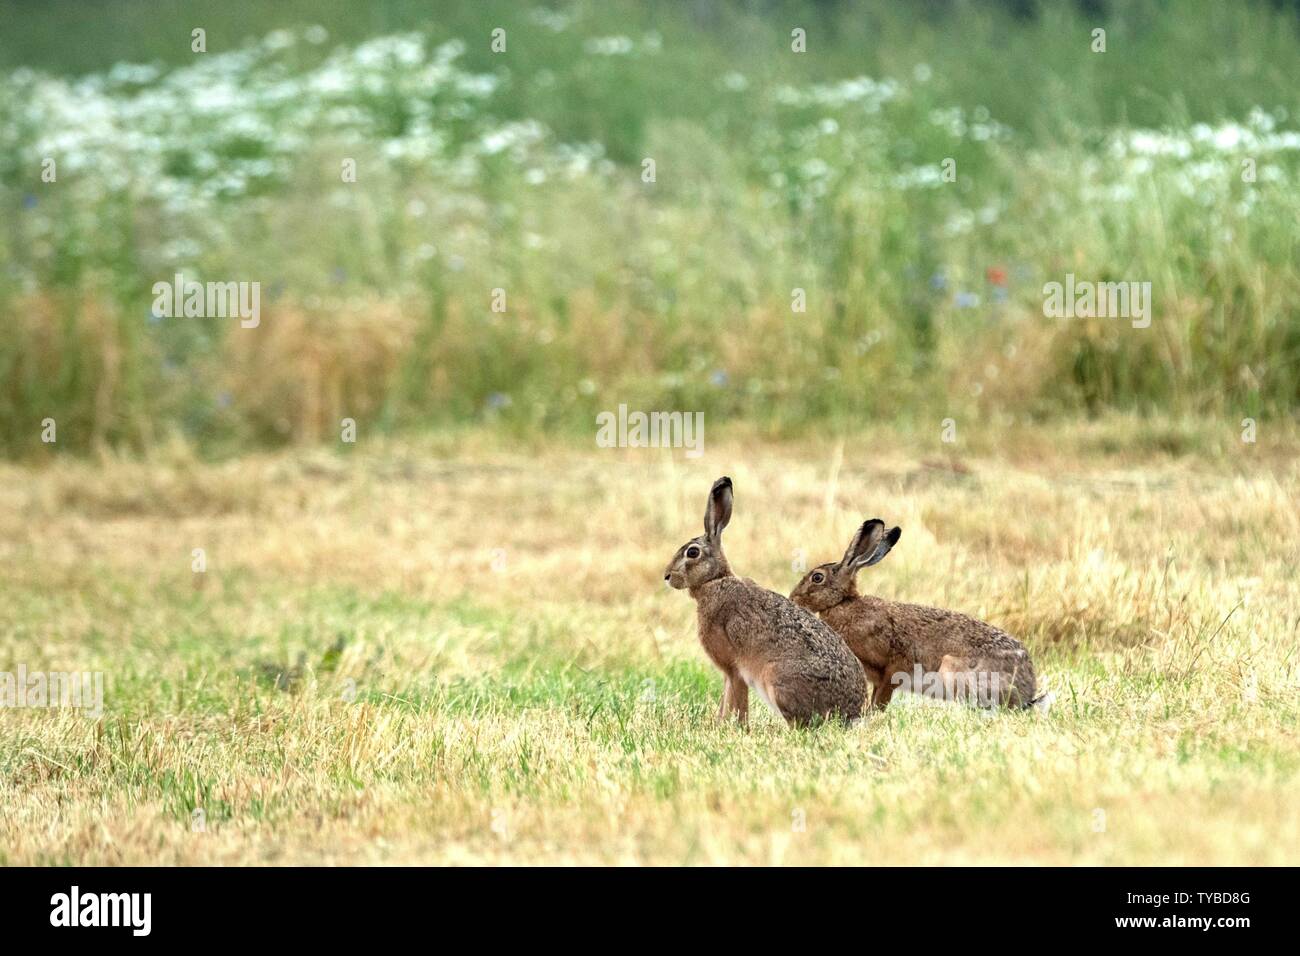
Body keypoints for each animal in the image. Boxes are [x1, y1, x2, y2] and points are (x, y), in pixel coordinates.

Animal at [664, 477, 867, 727]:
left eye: (692, 553)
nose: (667, 576)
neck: (715, 580)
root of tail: (851, 714)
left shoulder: (734, 669)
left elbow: (734, 700)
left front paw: (734, 727)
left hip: (777, 678)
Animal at [790, 519, 1048, 711]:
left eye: (817, 577)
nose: (793, 598)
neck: (844, 603)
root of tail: (1028, 690)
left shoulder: (892, 667)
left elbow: (881, 698)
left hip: (952, 670)